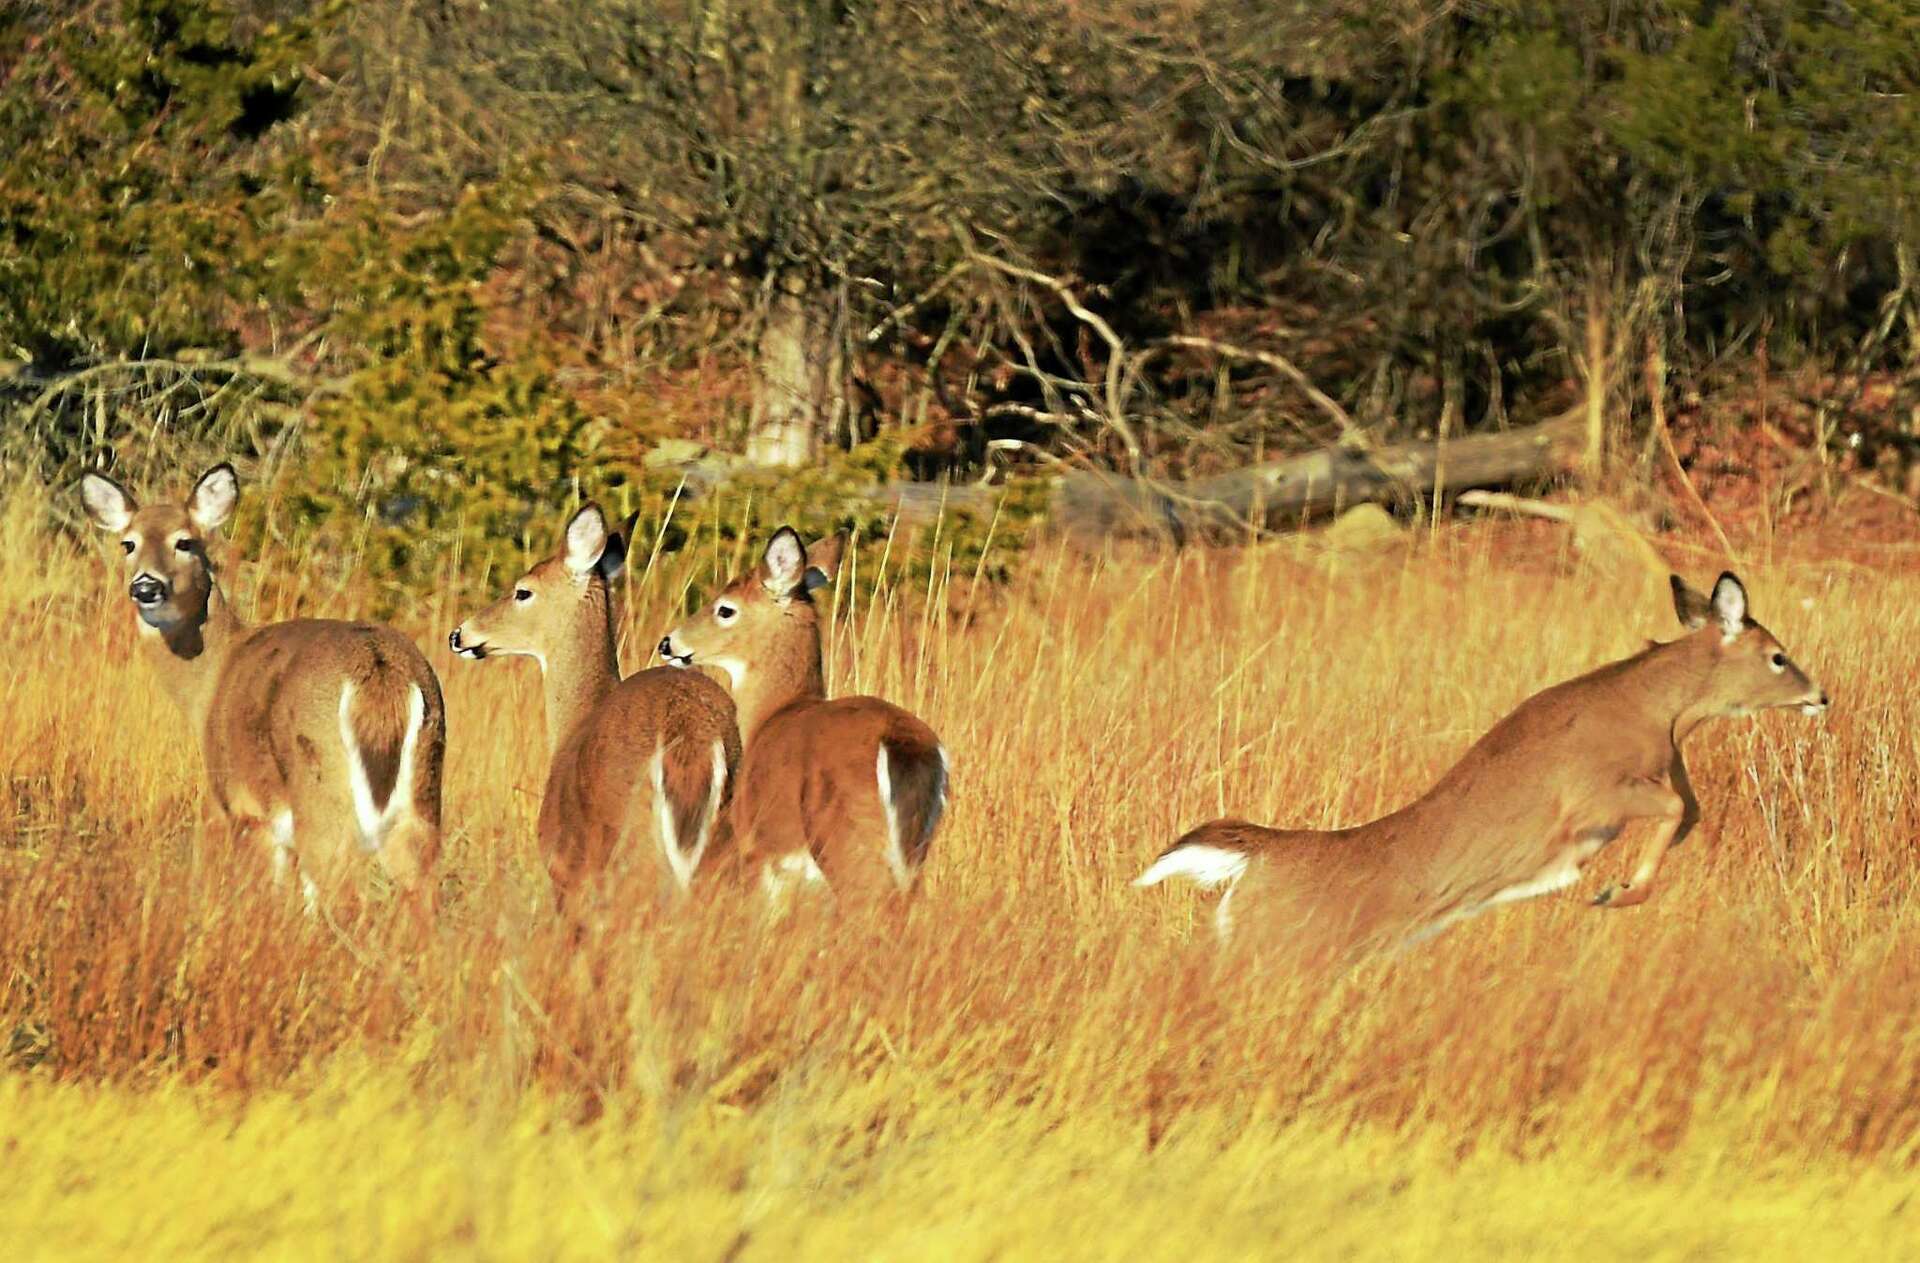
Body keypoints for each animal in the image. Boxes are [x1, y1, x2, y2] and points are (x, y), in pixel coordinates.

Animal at [79, 463, 446, 924]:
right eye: (128, 543)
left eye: (185, 541)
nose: (146, 587)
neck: (212, 677)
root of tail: (380, 671)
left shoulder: (245, 808)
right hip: (422, 798)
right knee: (422, 893)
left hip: (321, 793)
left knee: (340, 895)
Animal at [657, 528, 949, 906]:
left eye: (725, 609)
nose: (668, 643)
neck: (771, 714)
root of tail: (901, 743)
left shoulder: (759, 849)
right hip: (916, 849)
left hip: (843, 839)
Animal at [1134, 572, 1829, 964]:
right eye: (1777, 656)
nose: (1820, 695)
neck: (1658, 713)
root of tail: (1253, 862)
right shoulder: (1590, 798)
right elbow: (1678, 808)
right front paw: (1620, 891)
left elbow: (1691, 810)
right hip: (1282, 951)